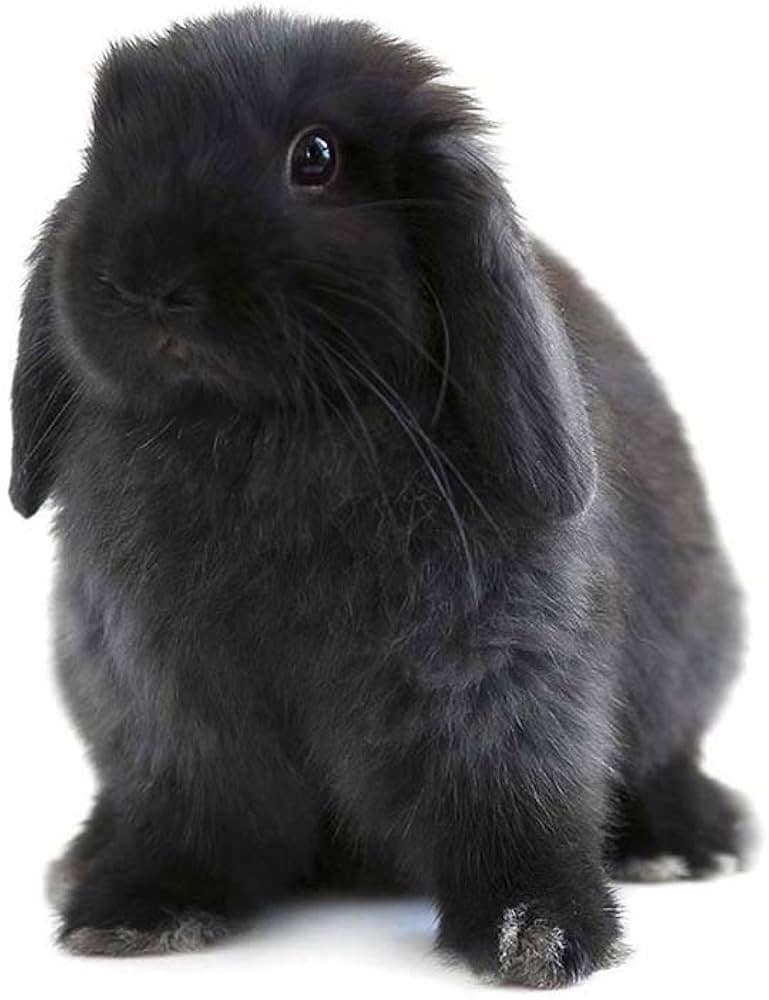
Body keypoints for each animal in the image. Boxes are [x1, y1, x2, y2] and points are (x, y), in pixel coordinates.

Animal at [9, 8, 751, 988]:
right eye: (102, 148)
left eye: (315, 158)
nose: (146, 282)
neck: (258, 427)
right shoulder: (160, 687)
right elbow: (192, 802)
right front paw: (137, 908)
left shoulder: (487, 666)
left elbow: (509, 794)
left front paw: (543, 934)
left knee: (665, 754)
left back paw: (684, 841)